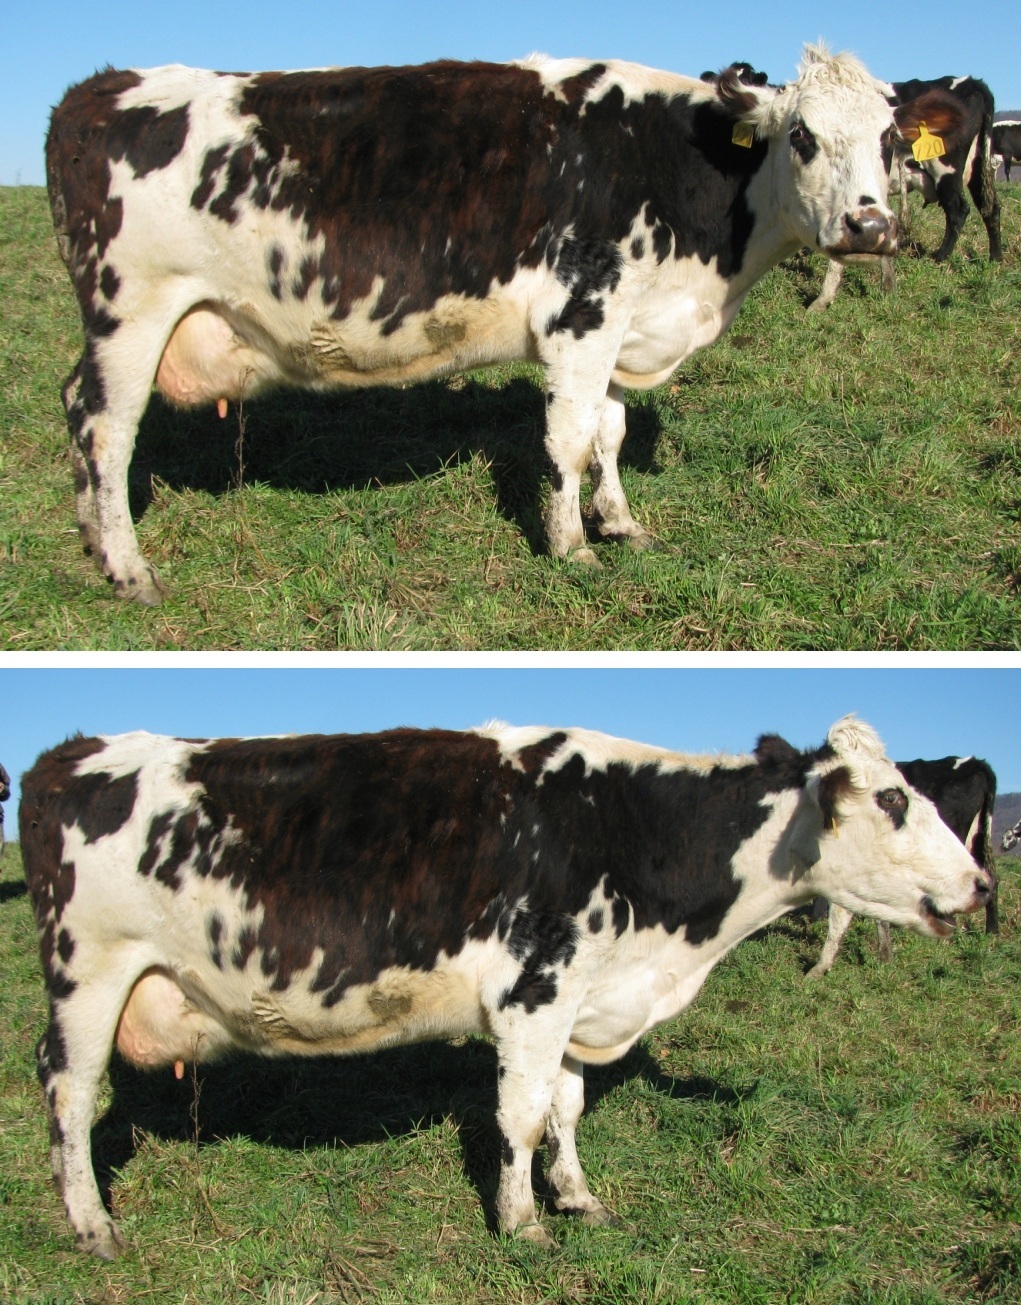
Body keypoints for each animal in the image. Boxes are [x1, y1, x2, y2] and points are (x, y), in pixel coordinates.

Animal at [45, 45, 917, 604]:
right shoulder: (582, 314)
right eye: (801, 136)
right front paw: (570, 548)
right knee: (106, 428)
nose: (869, 227)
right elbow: (569, 439)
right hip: (132, 312)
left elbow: (609, 430)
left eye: (890, 141)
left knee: (77, 412)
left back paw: (90, 537)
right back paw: (129, 570)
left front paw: (621, 523)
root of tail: (100, 88)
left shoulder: (620, 325)